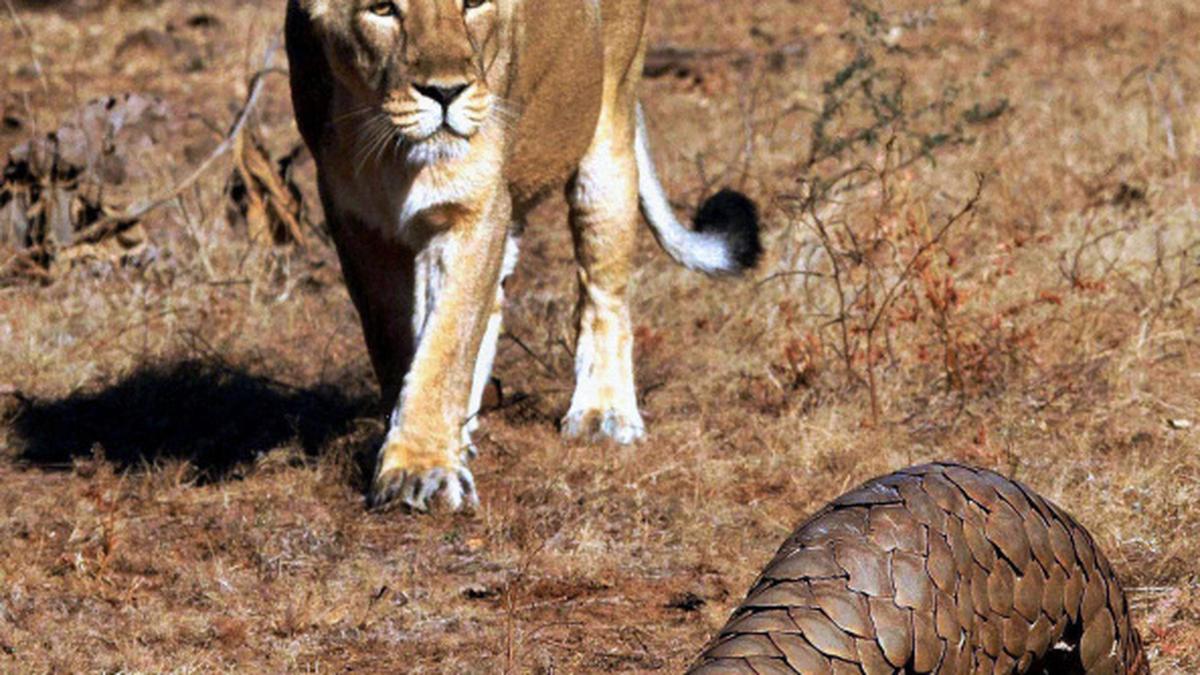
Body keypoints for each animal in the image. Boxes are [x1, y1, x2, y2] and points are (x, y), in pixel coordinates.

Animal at [286, 0, 763, 511]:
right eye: (380, 9)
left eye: (473, 5)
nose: (446, 93)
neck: (396, 157)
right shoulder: (356, 219)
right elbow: (397, 341)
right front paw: (421, 449)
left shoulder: (474, 204)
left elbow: (446, 343)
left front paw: (421, 469)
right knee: (493, 301)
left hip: (607, 135)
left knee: (604, 294)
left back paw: (604, 413)